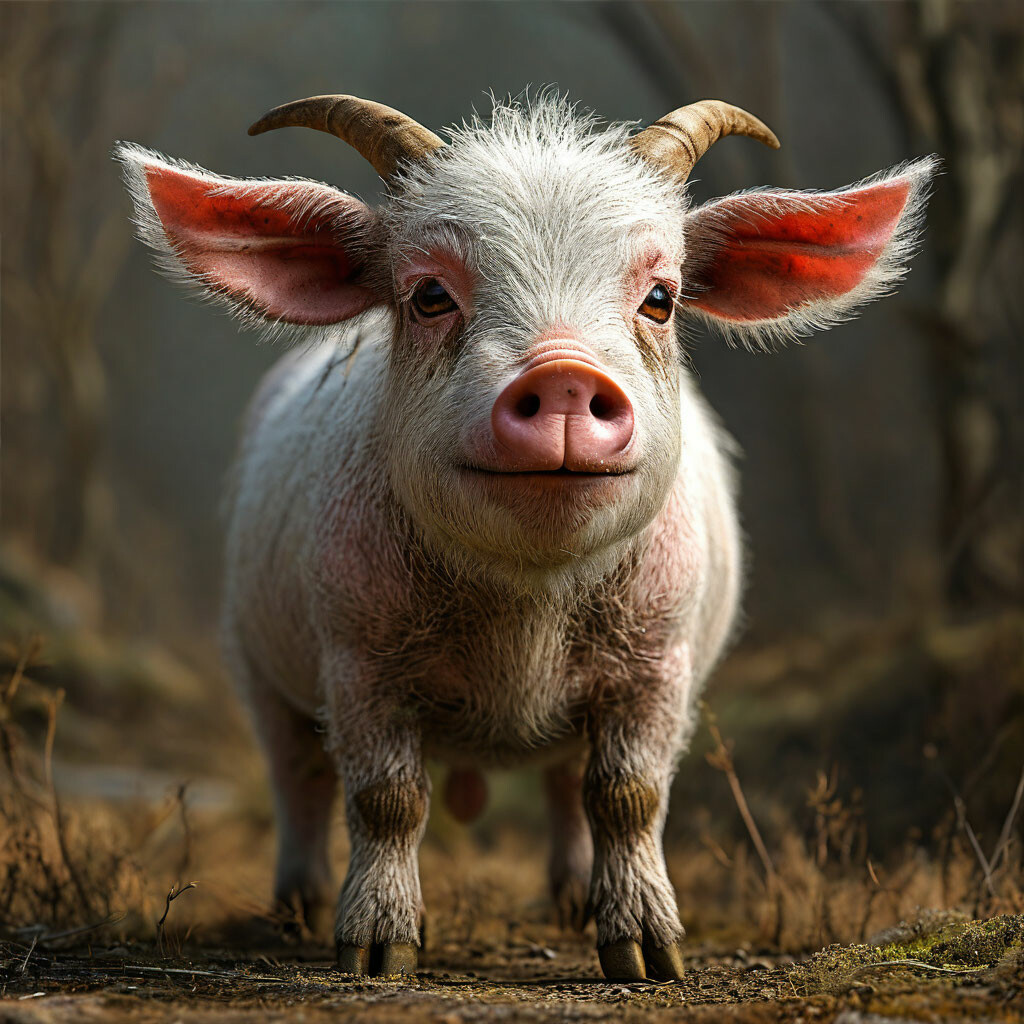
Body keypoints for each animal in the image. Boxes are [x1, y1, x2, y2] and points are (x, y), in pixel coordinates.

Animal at [117, 93, 935, 980]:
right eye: (429, 294)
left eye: (661, 298)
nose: (564, 374)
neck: (527, 618)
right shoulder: (356, 651)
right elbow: (386, 799)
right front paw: (378, 956)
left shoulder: (661, 657)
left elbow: (631, 796)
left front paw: (649, 959)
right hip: (251, 652)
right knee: (296, 774)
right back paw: (295, 913)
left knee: (568, 785)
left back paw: (573, 909)